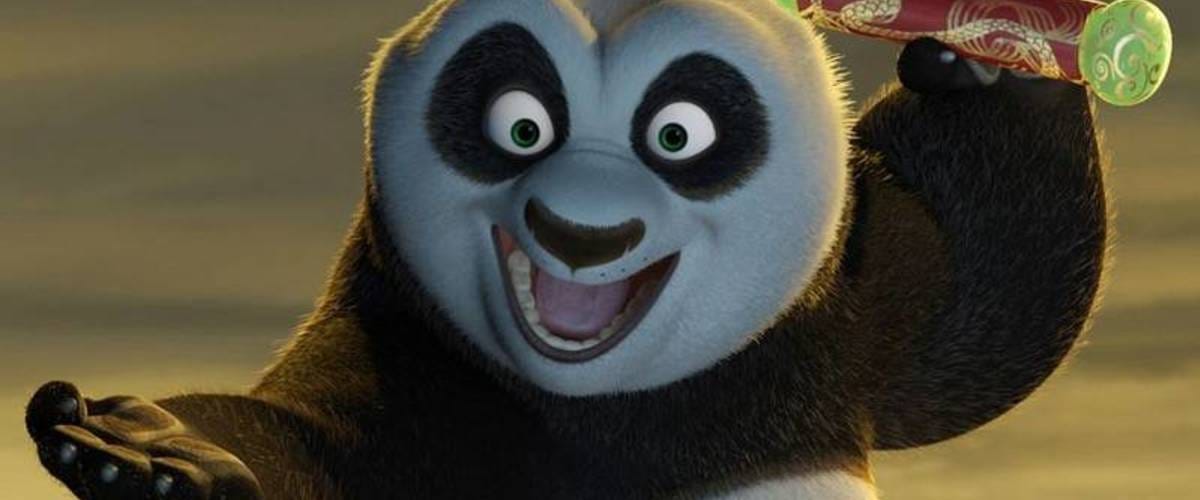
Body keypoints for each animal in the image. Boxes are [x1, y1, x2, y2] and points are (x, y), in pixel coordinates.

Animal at [24, 0, 1108, 498]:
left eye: (678, 133)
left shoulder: (831, 325)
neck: (607, 404)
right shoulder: (408, 364)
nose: (583, 234)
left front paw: (994, 52)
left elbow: (983, 306)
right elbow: (296, 440)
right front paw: (155, 446)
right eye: (519, 124)